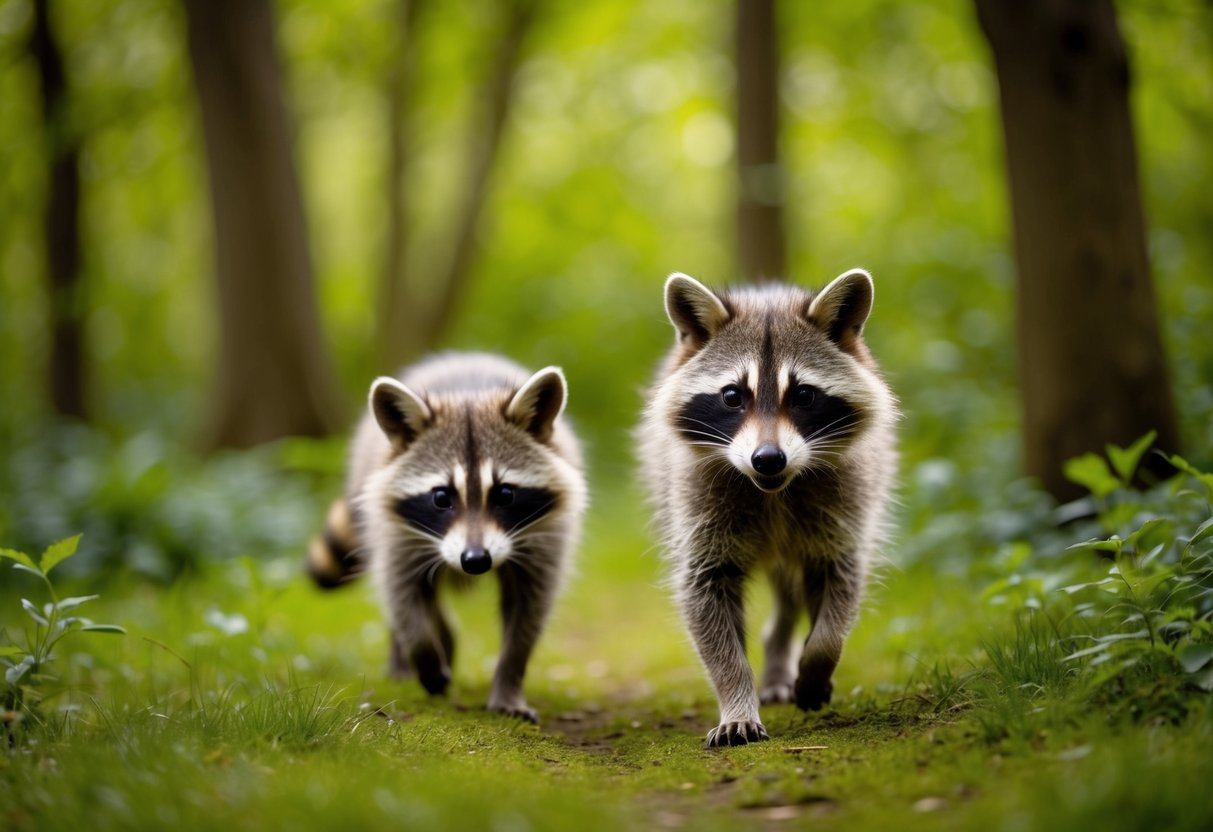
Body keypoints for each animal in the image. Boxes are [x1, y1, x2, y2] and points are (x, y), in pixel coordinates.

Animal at [307, 352, 587, 723]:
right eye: (441, 497)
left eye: (505, 494)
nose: (475, 560)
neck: (467, 395)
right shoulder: (396, 533)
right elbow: (403, 596)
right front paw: (425, 656)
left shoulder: (545, 537)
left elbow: (528, 612)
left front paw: (509, 679)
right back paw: (412, 656)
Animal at [638, 270, 896, 747]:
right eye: (732, 396)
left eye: (804, 396)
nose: (768, 458)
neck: (774, 490)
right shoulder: (698, 517)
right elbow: (708, 608)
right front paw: (737, 697)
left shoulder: (845, 510)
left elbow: (838, 595)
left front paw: (816, 663)